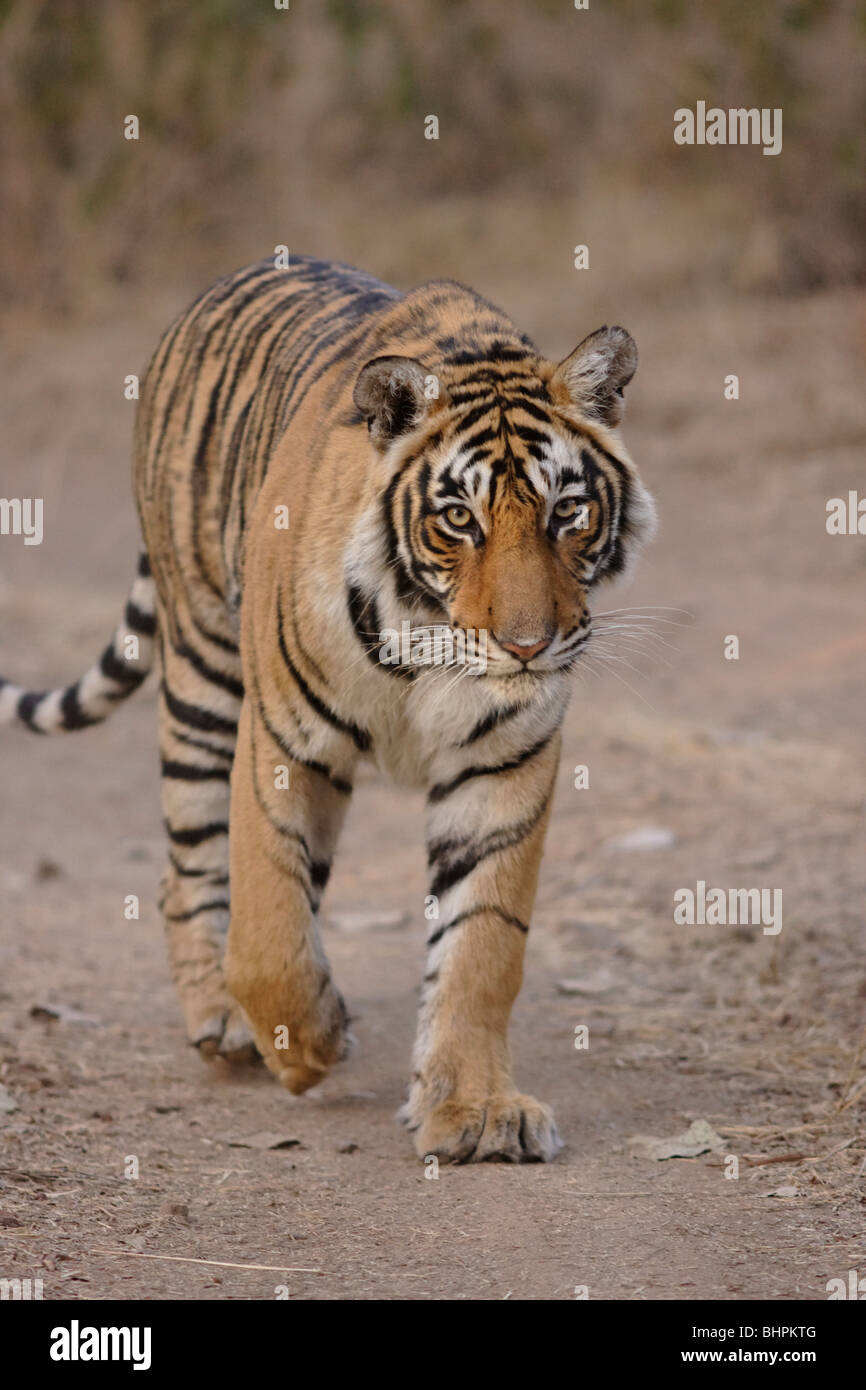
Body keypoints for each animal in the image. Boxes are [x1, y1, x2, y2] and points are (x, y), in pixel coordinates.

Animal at [0, 256, 655, 1163]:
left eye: (568, 512)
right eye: (460, 519)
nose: (527, 646)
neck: (428, 646)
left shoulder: (503, 761)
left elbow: (481, 946)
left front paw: (476, 1110)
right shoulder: (281, 739)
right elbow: (268, 933)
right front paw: (308, 1046)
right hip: (201, 671)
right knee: (187, 867)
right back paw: (222, 1020)